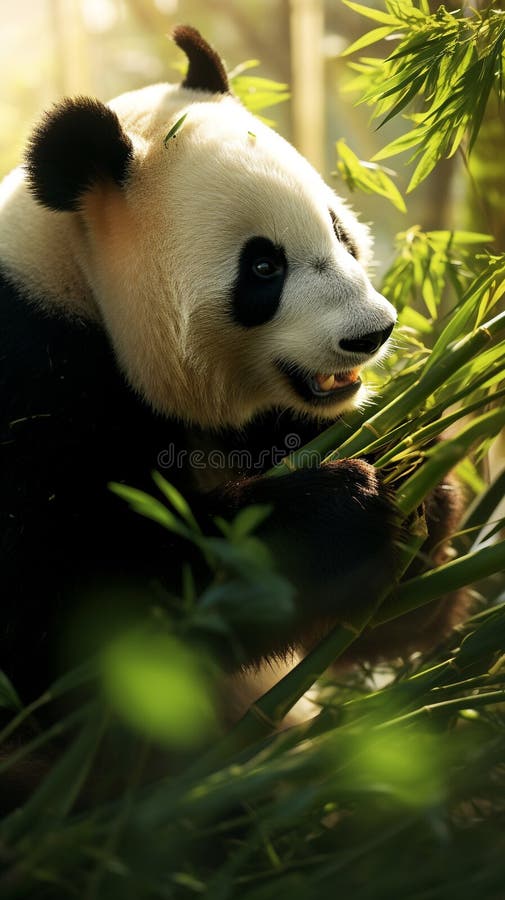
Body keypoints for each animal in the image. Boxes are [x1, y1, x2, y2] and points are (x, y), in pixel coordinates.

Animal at [0, 26, 466, 722]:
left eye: (339, 231)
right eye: (263, 268)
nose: (372, 333)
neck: (76, 278)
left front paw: (421, 485)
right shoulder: (31, 378)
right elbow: (76, 619)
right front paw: (343, 510)